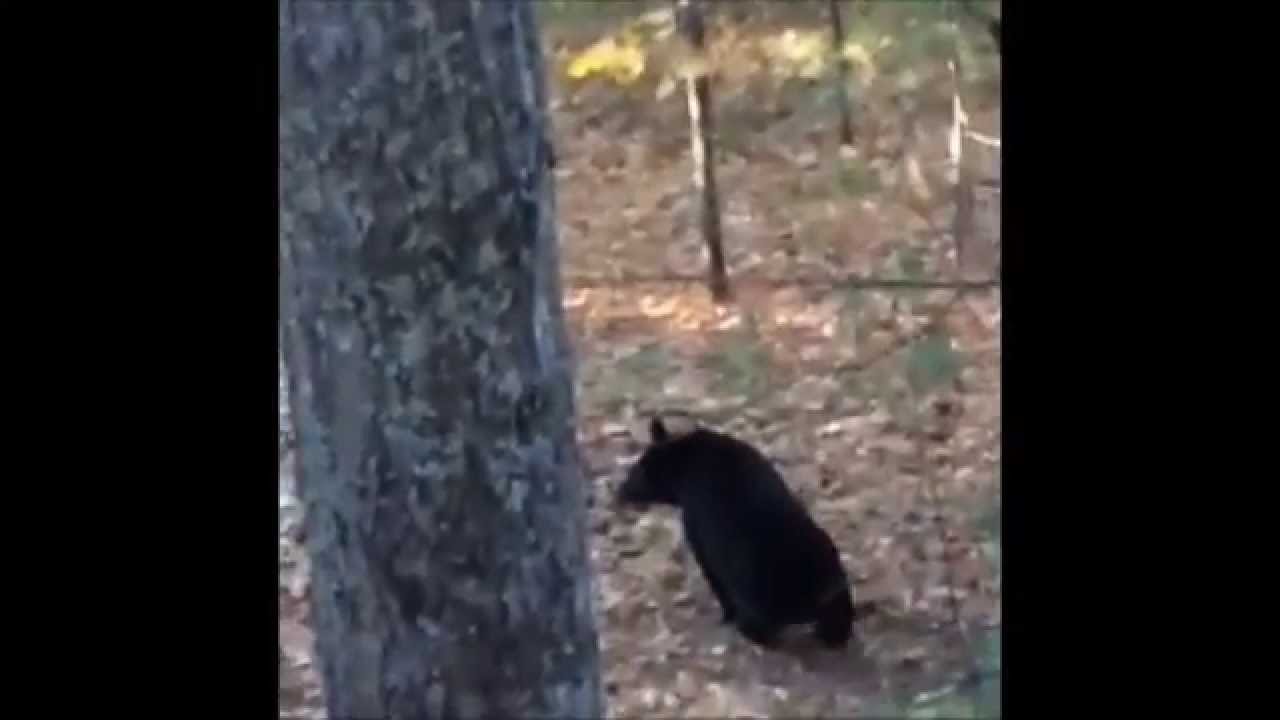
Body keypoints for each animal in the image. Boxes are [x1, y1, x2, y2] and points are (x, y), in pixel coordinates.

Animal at [616, 414, 855, 649]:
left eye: (638, 470)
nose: (620, 491)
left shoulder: (699, 529)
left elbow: (714, 576)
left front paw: (726, 615)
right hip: (833, 578)